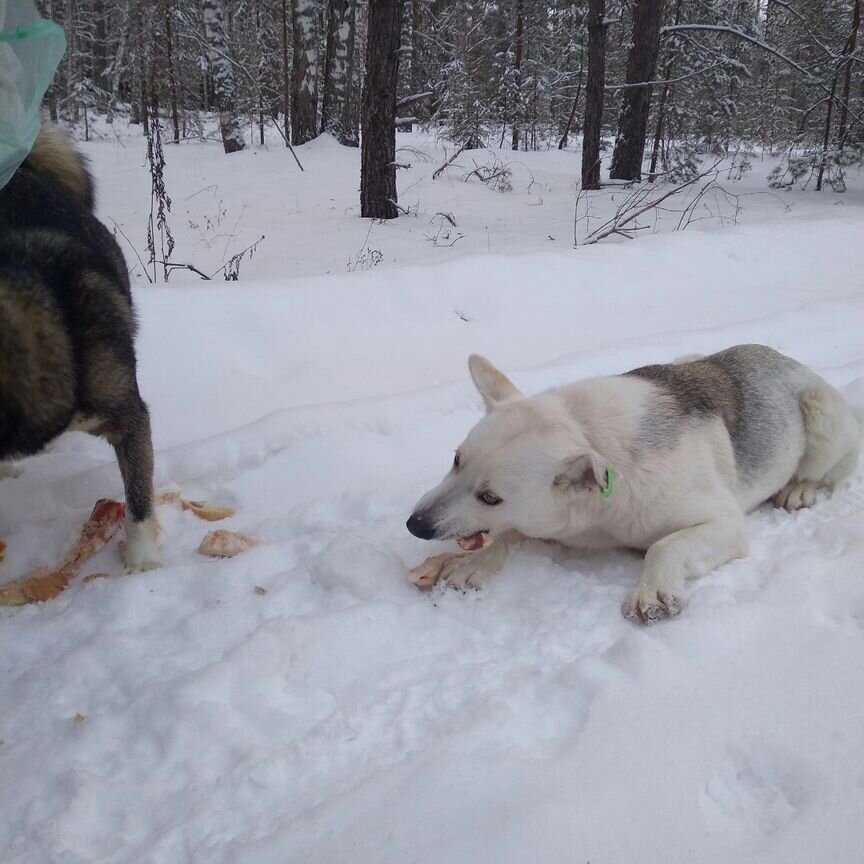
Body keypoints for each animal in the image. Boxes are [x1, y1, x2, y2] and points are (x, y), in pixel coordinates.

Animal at [408, 344, 860, 620]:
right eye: (456, 460)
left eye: (490, 497)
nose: (415, 525)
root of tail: (781, 357)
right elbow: (509, 535)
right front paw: (476, 563)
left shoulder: (724, 524)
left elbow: (665, 546)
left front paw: (652, 589)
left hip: (821, 416)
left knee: (834, 469)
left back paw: (801, 487)